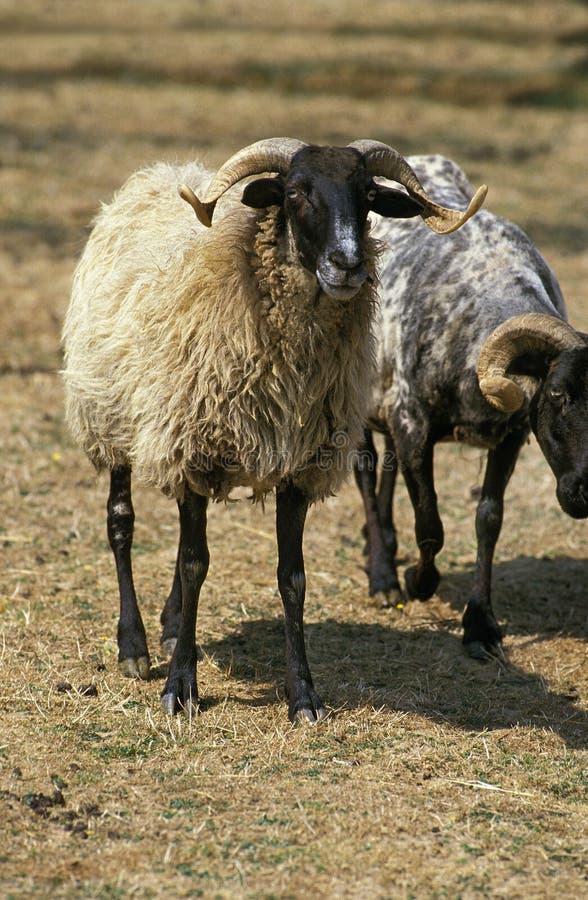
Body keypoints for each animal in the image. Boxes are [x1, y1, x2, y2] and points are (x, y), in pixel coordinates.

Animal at [62, 139, 486, 721]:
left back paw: (172, 626)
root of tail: (159, 174)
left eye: (368, 194)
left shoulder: (296, 467)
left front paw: (302, 694)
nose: (348, 263)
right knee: (121, 523)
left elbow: (292, 578)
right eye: (294, 194)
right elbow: (195, 565)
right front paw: (180, 688)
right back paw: (135, 646)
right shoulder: (193, 447)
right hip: (107, 417)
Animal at [356, 153, 587, 659]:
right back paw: (382, 574)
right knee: (366, 472)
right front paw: (416, 581)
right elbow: (431, 524)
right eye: (558, 394)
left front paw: (480, 624)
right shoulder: (413, 425)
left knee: (385, 470)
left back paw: (380, 543)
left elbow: (488, 519)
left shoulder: (512, 435)